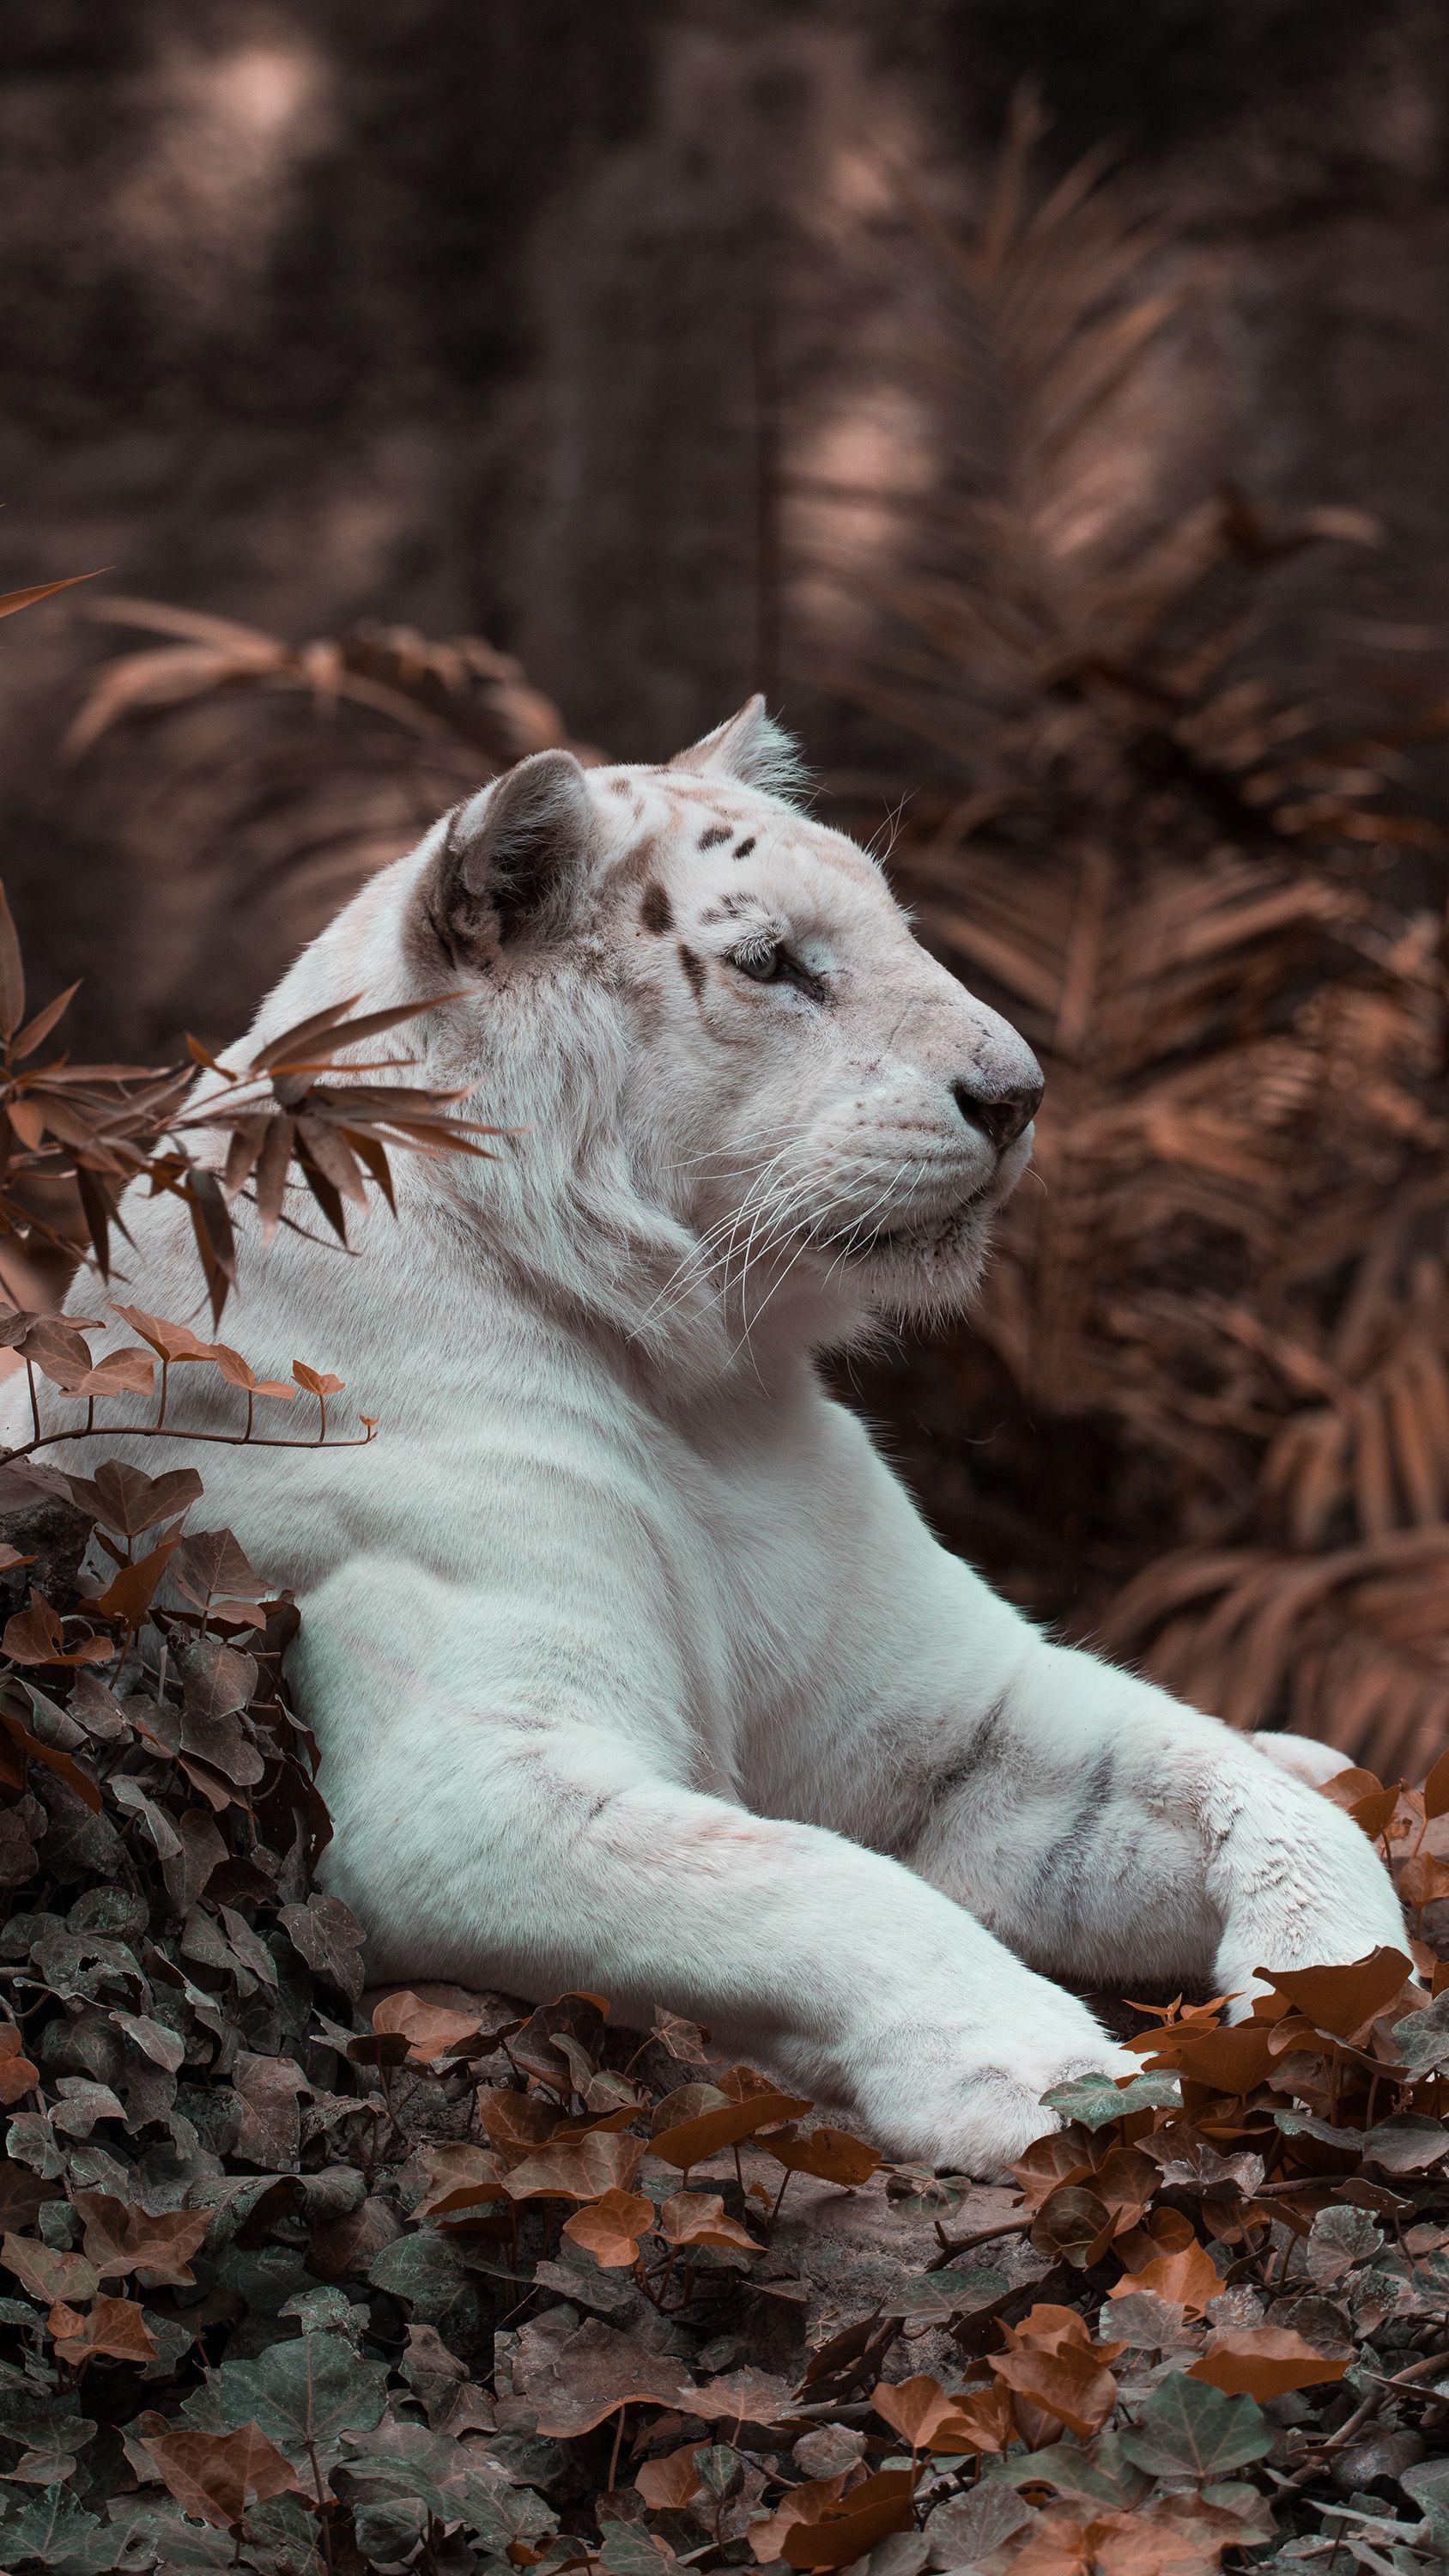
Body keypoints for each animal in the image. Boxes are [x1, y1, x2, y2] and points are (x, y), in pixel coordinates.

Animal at [53, 699, 1404, 2170]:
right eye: (775, 963)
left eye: (894, 928)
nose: (1019, 1092)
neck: (701, 1389)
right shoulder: (464, 1780)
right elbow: (821, 1882)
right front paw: (1051, 2082)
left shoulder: (950, 1720)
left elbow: (1235, 1789)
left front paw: (1330, 1987)